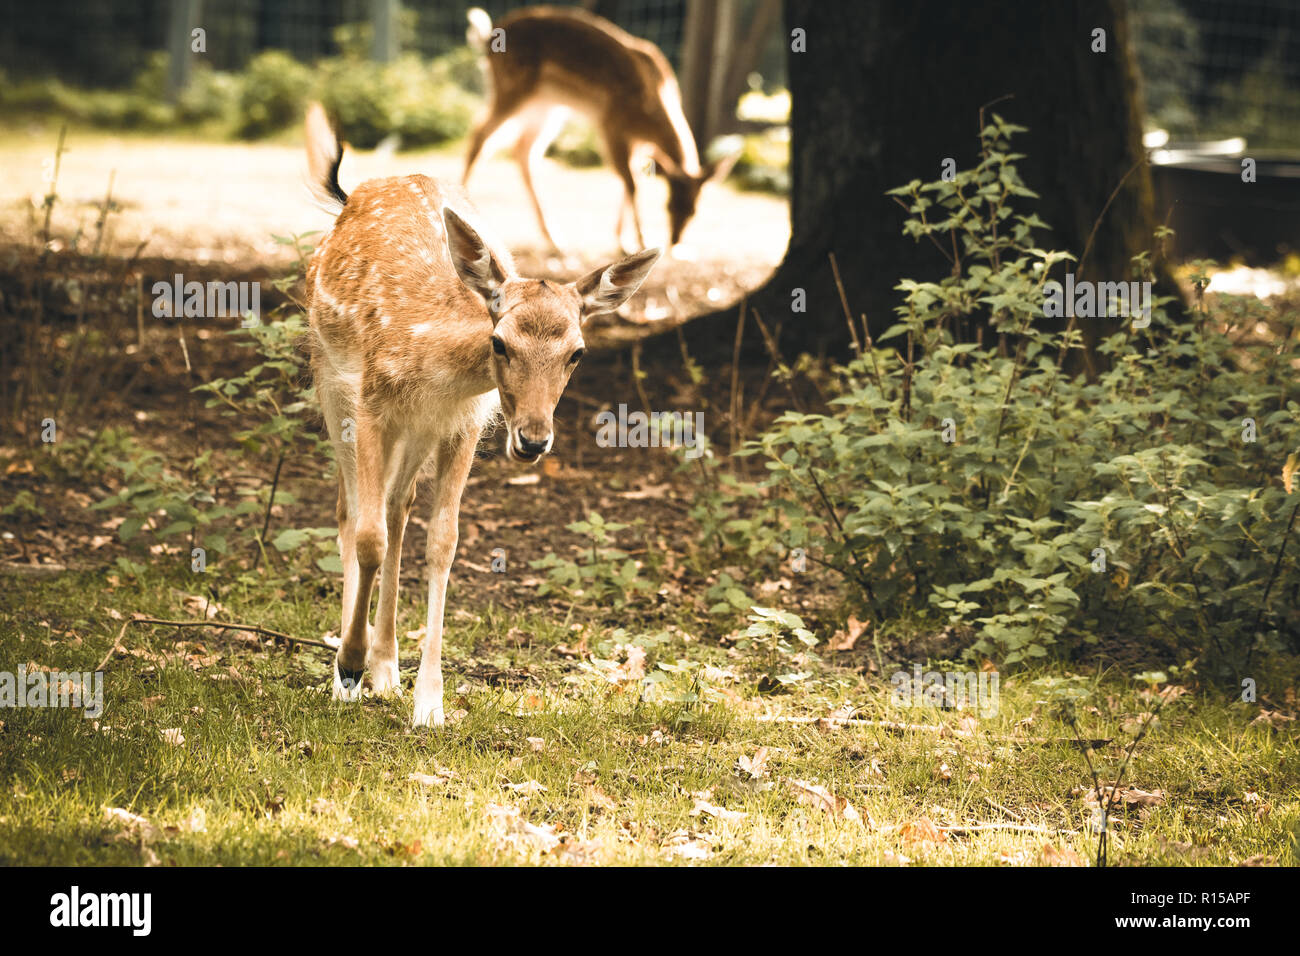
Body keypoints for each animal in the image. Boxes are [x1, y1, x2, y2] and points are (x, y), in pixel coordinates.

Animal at [303, 103, 660, 728]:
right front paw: (346, 665)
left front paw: (428, 703)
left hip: (418, 430)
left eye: (578, 352)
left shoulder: (465, 423)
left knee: (398, 507)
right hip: (329, 378)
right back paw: (353, 670)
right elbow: (367, 536)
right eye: (500, 342)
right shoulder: (370, 403)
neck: (434, 367)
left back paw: (386, 670)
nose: (534, 440)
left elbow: (443, 541)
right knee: (352, 511)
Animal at [462, 5, 736, 254]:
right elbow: (631, 183)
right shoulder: (611, 125)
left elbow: (633, 179)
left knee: (523, 151)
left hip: (546, 105)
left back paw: (555, 240)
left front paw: (624, 241)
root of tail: (488, 40)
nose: (675, 240)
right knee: (480, 136)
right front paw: (638, 242)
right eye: (668, 206)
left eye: (694, 211)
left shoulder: (639, 143)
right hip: (512, 89)